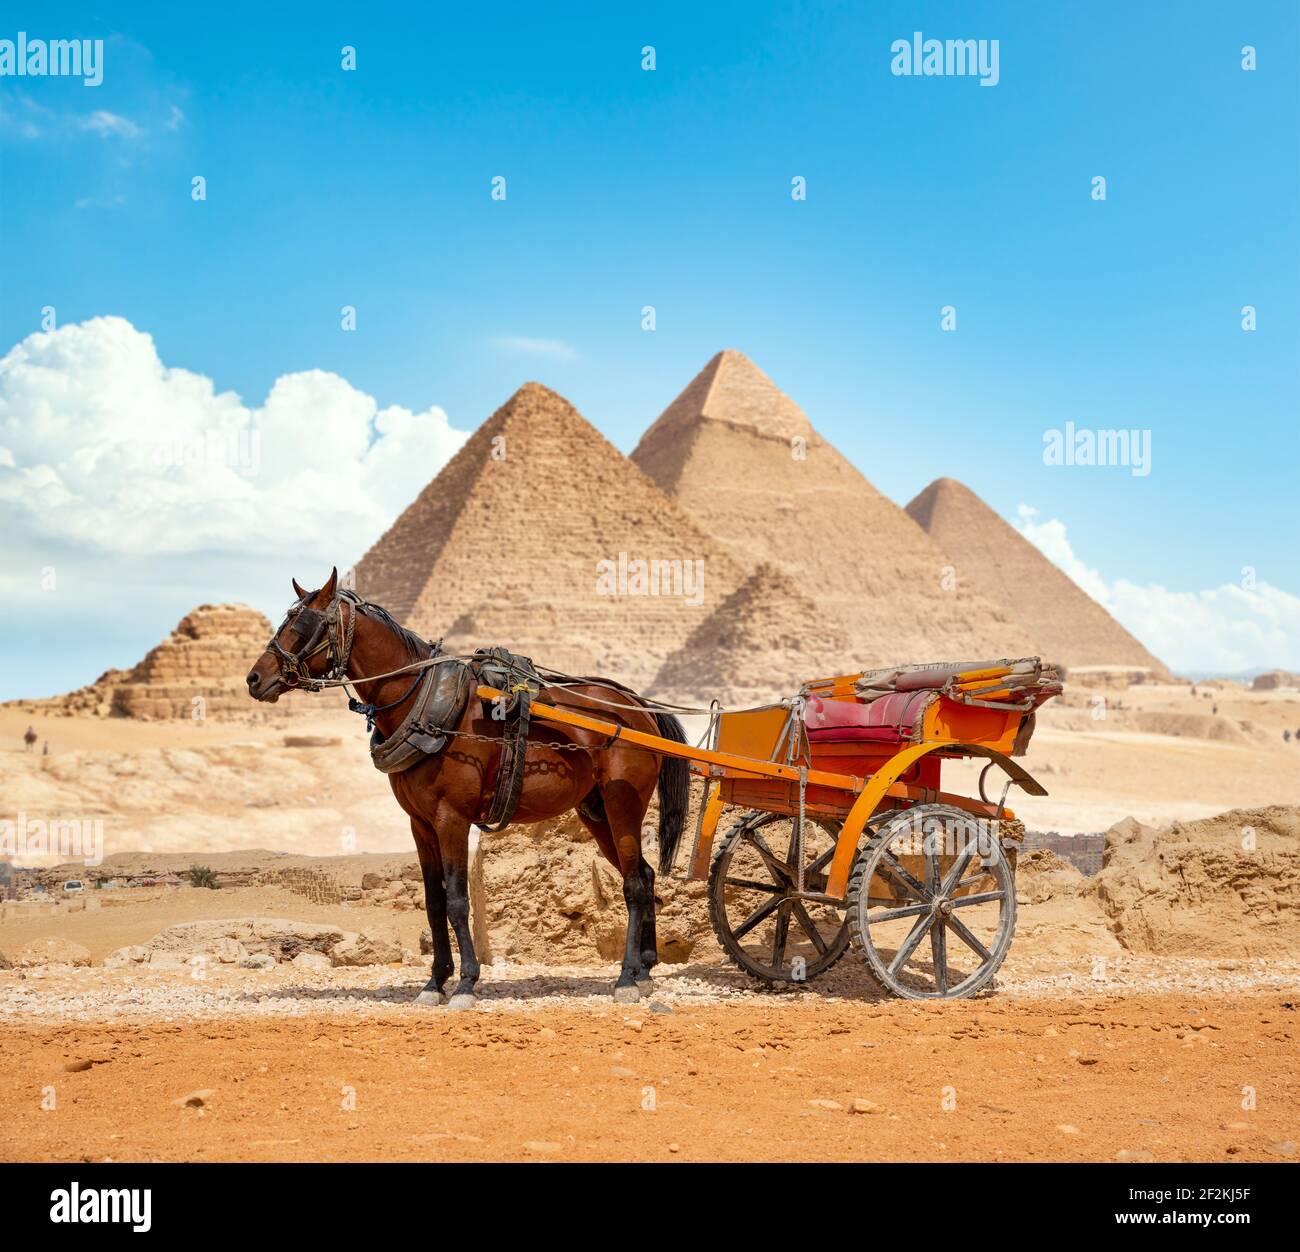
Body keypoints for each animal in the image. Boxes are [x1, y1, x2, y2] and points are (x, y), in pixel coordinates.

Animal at [245, 568, 690, 1008]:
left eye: (303, 626)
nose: (254, 679)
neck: (425, 703)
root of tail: (637, 705)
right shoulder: (420, 824)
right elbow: (433, 901)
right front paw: (434, 982)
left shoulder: (452, 818)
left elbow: (458, 901)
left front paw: (465, 983)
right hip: (595, 812)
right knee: (645, 874)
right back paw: (646, 970)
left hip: (623, 804)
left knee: (633, 884)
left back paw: (626, 978)